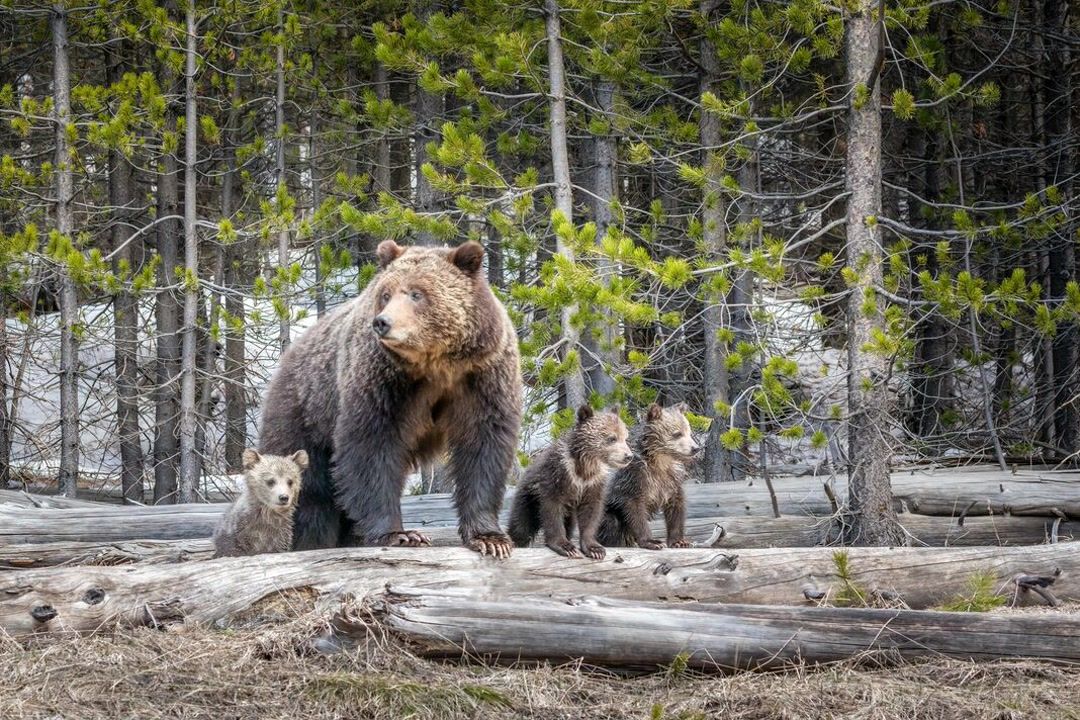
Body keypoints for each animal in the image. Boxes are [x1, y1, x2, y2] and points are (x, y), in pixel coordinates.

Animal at [257, 240, 522, 558]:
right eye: (386, 294)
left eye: (417, 293)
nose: (382, 322)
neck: (436, 364)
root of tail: (288, 357)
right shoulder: (384, 383)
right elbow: (372, 448)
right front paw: (401, 534)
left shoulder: (481, 378)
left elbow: (483, 447)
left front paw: (490, 538)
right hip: (306, 416)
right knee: (309, 491)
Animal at [507, 405, 633, 559]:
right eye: (612, 438)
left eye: (625, 437)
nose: (628, 456)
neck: (584, 467)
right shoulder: (556, 476)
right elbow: (552, 509)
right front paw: (566, 546)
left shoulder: (593, 483)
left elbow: (591, 512)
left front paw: (595, 549)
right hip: (528, 497)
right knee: (521, 524)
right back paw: (516, 540)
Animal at [597, 403, 700, 549]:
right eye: (677, 434)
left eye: (689, 432)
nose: (696, 448)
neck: (659, 462)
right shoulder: (633, 478)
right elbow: (635, 510)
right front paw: (652, 542)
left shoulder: (671, 479)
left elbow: (676, 507)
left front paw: (680, 541)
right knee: (609, 521)